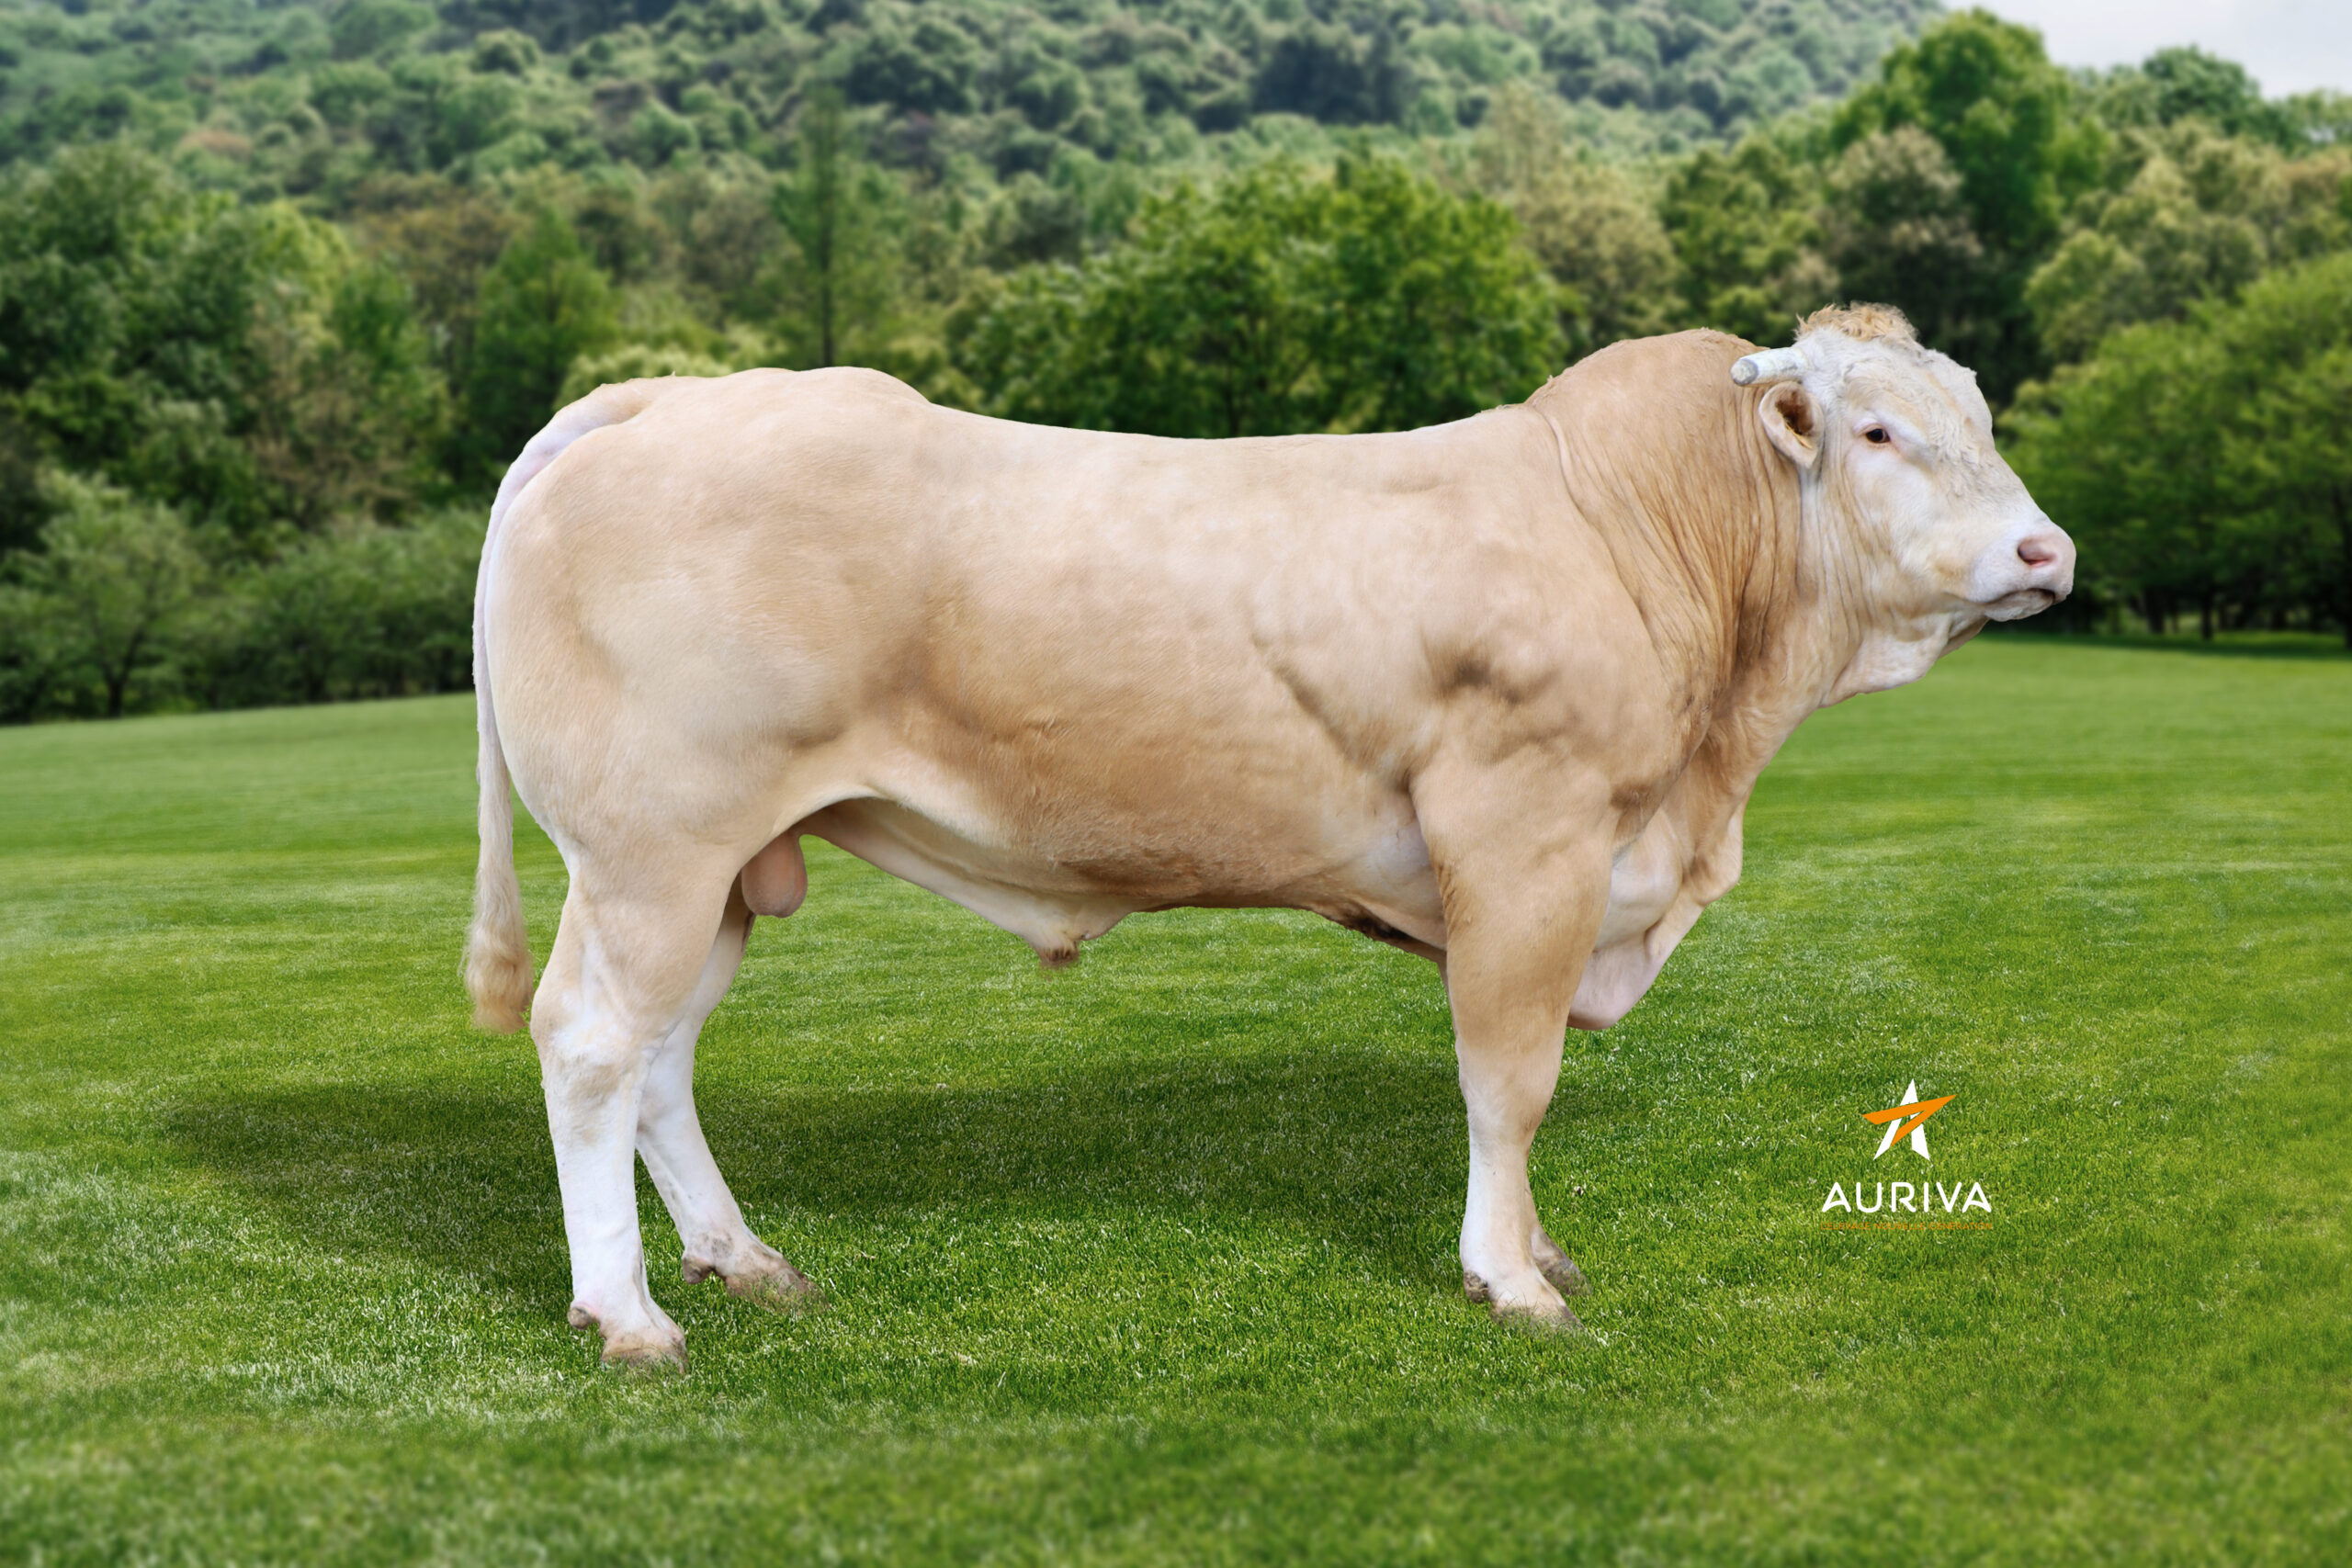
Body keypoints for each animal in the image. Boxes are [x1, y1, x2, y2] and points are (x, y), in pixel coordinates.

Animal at [464, 305, 2072, 1368]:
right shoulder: (1528, 842)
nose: (2044, 550)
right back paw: (628, 1311)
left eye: (1984, 421)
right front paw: (1511, 1274)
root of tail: (657, 398)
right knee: (594, 1043)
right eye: (1879, 430)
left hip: (719, 867)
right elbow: (1510, 1078)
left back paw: (740, 1258)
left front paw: (1534, 1244)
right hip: (654, 849)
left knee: (663, 1058)